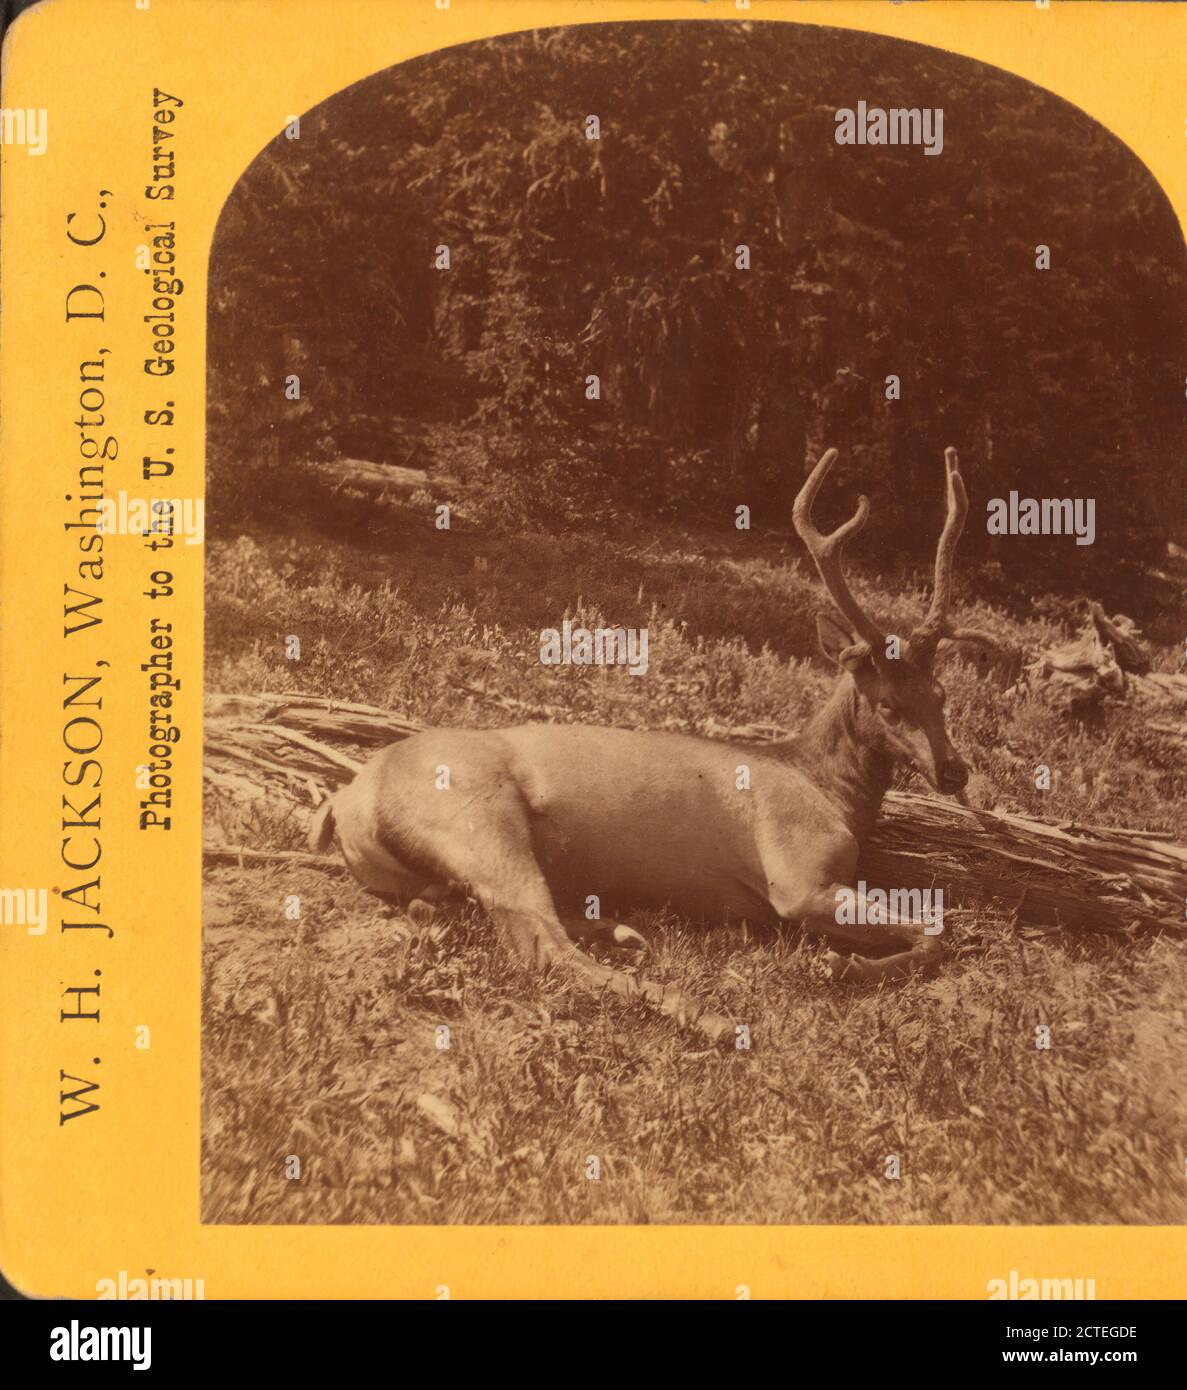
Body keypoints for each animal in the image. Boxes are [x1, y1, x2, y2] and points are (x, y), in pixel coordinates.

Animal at [309, 446, 994, 1042]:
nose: (954, 772)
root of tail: (345, 800)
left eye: (942, 695)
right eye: (889, 704)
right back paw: (706, 1015)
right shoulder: (797, 876)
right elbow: (938, 931)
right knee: (541, 947)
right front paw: (842, 966)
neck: (830, 790)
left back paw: (619, 931)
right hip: (480, 820)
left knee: (457, 914)